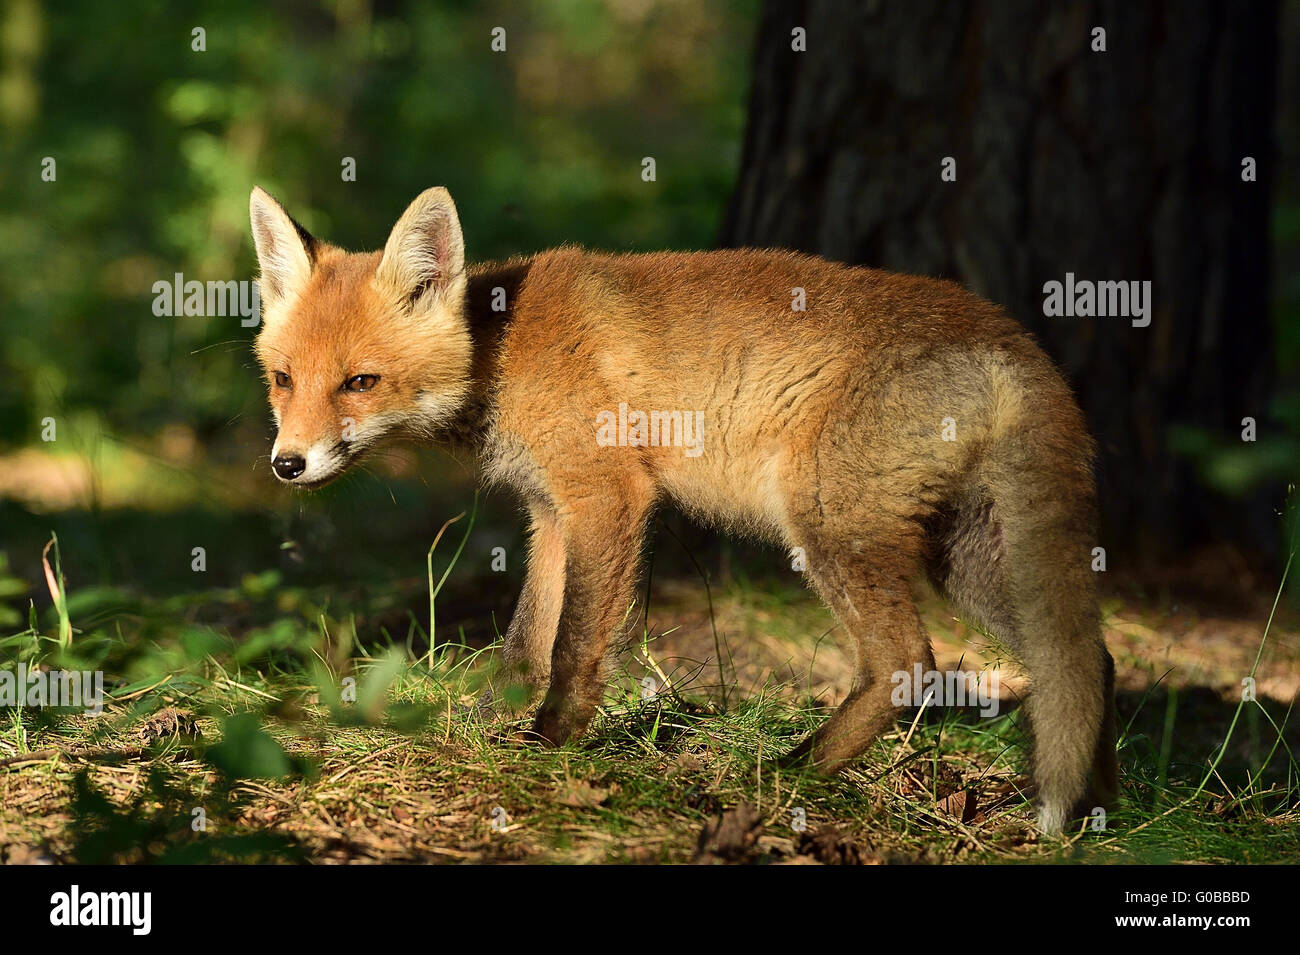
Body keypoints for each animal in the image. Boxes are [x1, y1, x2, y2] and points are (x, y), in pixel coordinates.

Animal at [249, 184, 1118, 834]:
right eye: (284, 379)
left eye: (360, 382)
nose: (287, 463)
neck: (503, 348)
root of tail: (1008, 336)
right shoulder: (553, 511)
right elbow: (524, 641)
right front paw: (483, 727)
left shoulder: (610, 496)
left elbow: (574, 647)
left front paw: (550, 745)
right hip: (968, 560)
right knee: (1087, 658)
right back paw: (1097, 814)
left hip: (830, 530)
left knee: (910, 663)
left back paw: (789, 775)